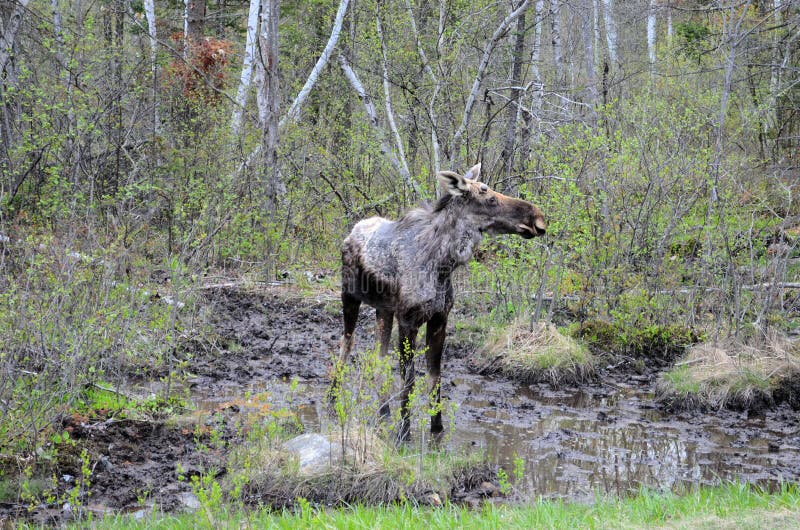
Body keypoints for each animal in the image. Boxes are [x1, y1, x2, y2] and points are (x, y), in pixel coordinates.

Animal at [337, 163, 547, 440]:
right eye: (489, 197)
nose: (538, 219)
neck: (443, 264)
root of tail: (350, 233)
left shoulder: (439, 319)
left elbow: (434, 377)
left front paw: (436, 429)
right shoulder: (408, 320)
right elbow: (409, 380)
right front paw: (404, 433)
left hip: (384, 310)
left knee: (378, 357)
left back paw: (383, 413)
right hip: (349, 297)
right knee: (346, 345)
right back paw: (332, 400)